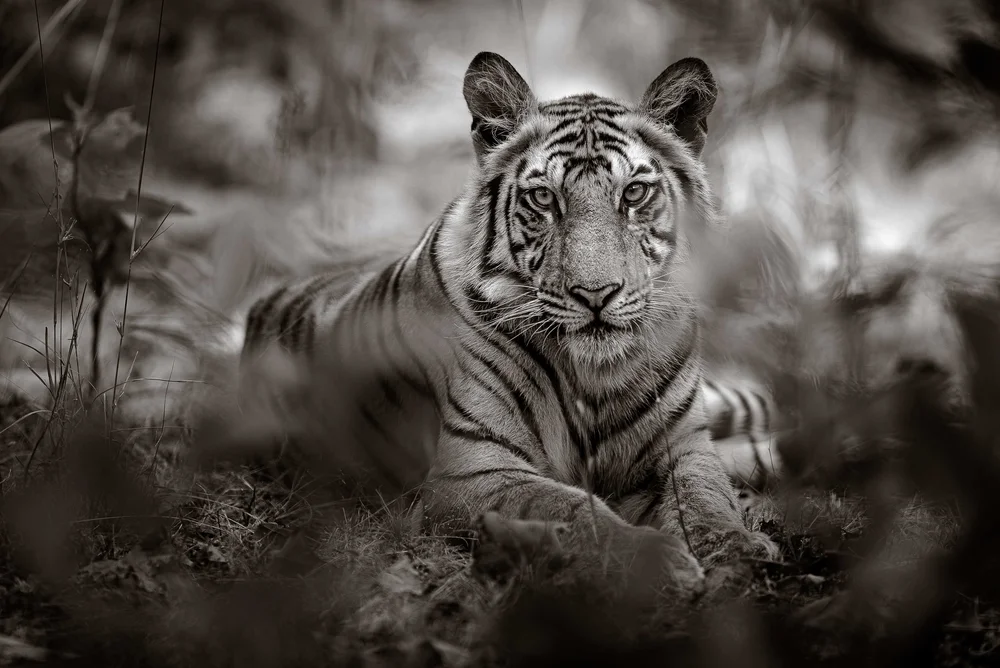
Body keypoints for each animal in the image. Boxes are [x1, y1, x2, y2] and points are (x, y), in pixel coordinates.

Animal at [240, 51, 781, 594]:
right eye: (544, 199)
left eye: (634, 193)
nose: (595, 294)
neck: (596, 377)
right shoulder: (474, 471)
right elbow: (572, 509)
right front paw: (658, 560)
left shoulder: (685, 446)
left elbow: (705, 497)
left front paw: (736, 548)